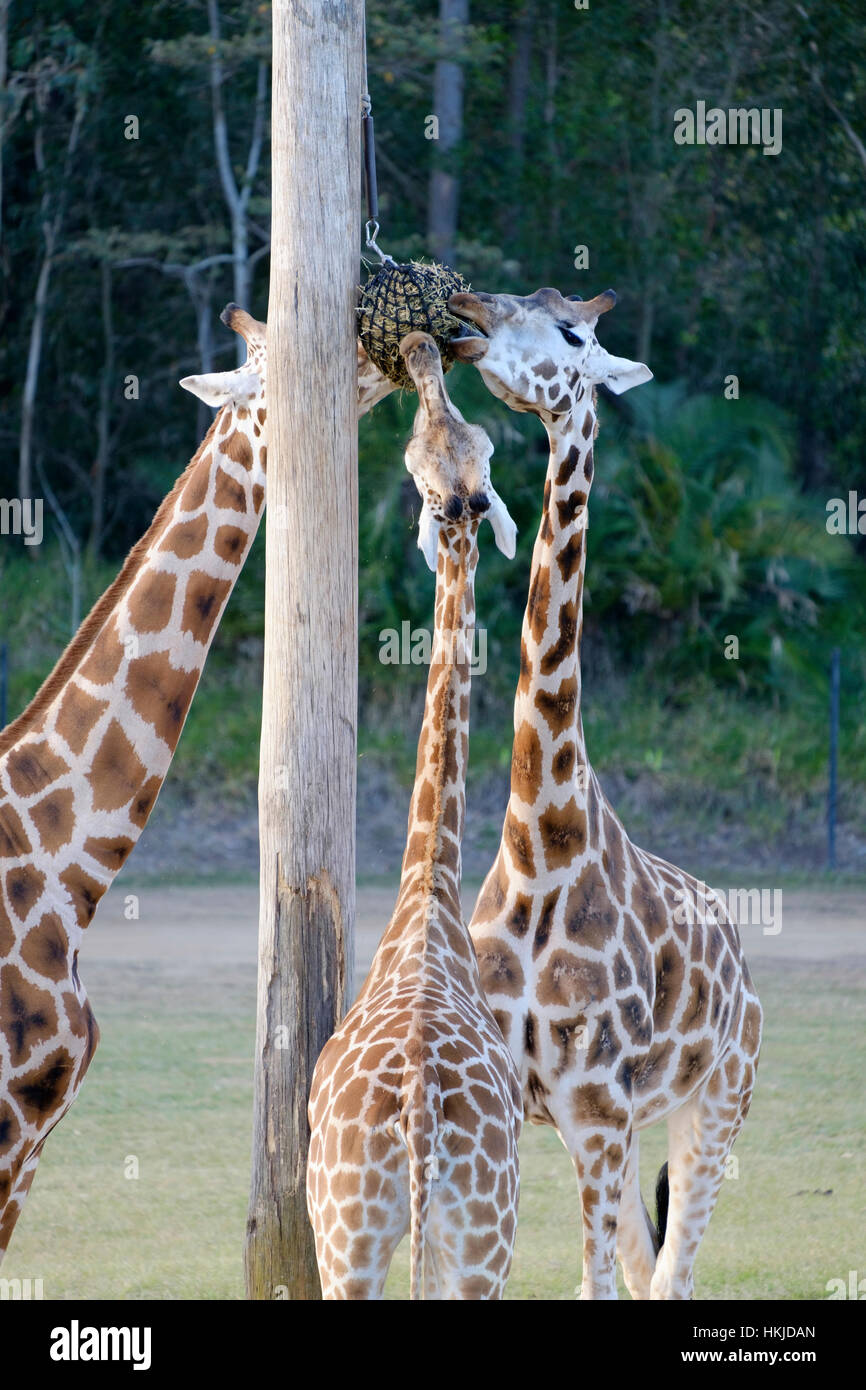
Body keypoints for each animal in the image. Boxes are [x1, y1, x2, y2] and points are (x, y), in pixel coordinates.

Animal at [447, 286, 763, 1301]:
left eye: (571, 332)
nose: (465, 305)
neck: (539, 845)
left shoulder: (595, 1104)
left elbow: (598, 1281)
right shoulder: (525, 1098)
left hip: (714, 1102)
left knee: (674, 1270)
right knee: (644, 1263)